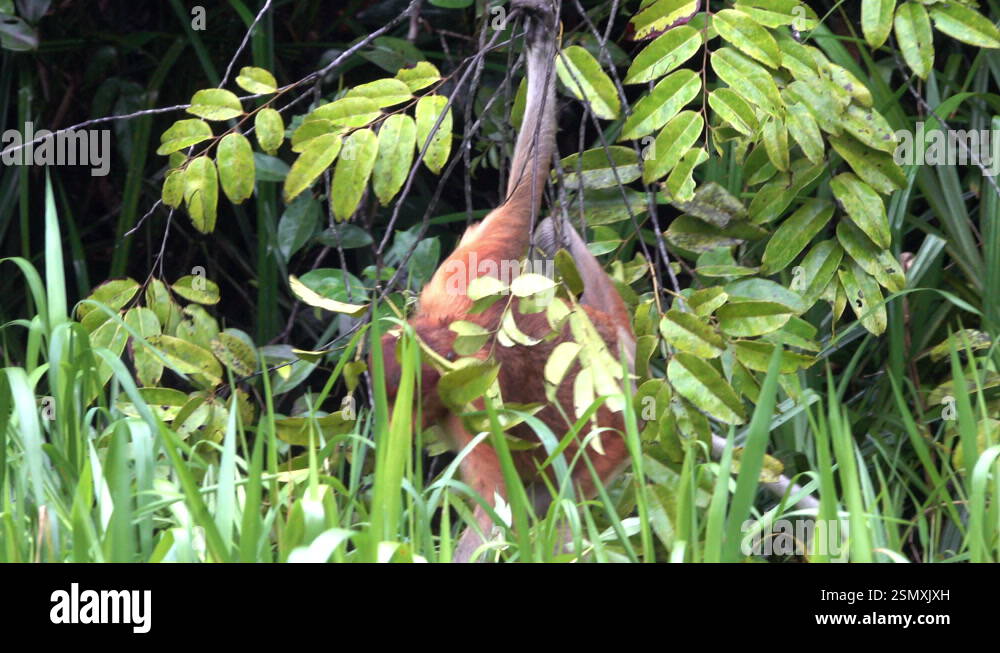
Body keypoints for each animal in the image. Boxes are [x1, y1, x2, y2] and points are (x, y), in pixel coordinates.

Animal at [377, 0, 636, 562]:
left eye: (408, 398)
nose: (398, 426)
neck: (442, 339)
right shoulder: (453, 282)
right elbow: (518, 210)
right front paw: (541, 43)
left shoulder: (474, 401)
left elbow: (500, 515)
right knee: (544, 229)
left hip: (610, 429)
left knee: (564, 508)